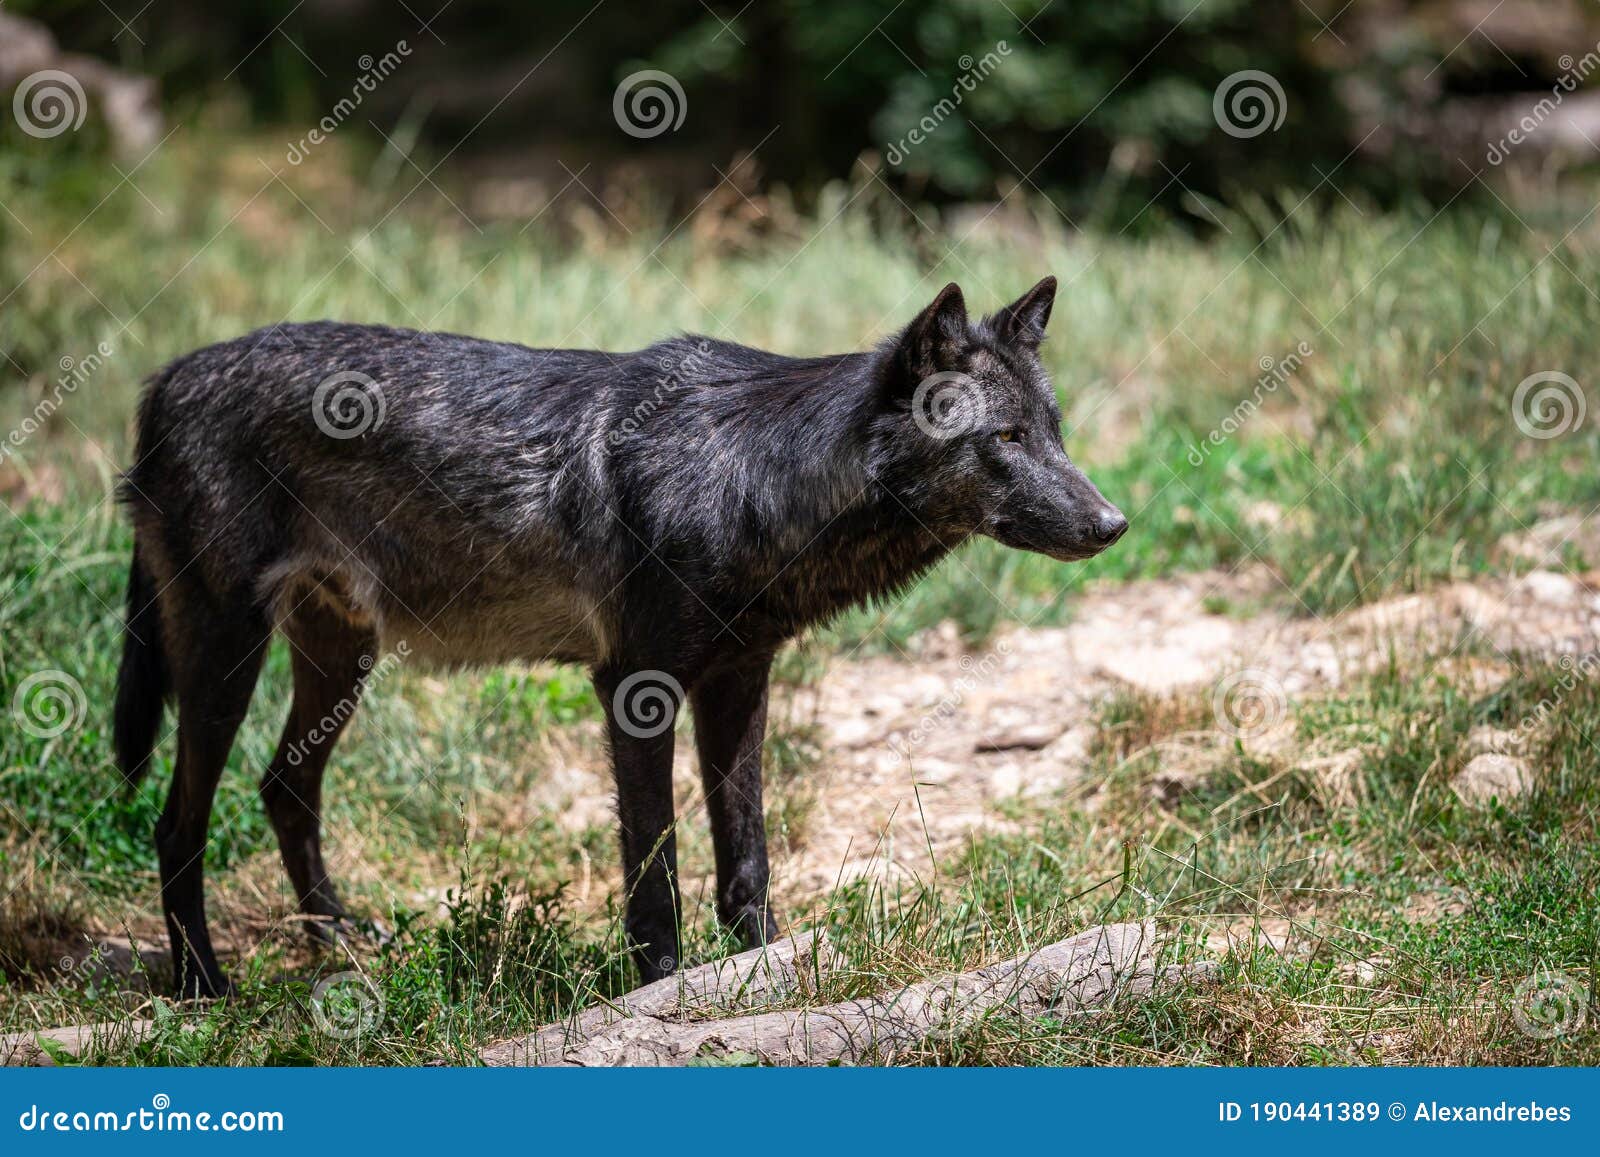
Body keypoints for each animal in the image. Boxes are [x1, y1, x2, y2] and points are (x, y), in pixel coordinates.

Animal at [113, 276, 1127, 997]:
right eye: (1005, 438)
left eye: (1054, 432)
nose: (1112, 524)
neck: (749, 474)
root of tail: (164, 379)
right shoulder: (635, 690)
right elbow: (656, 869)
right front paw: (661, 991)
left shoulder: (738, 683)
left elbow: (746, 858)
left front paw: (762, 971)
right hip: (225, 658)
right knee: (176, 822)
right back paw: (204, 986)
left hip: (339, 658)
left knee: (284, 786)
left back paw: (339, 947)